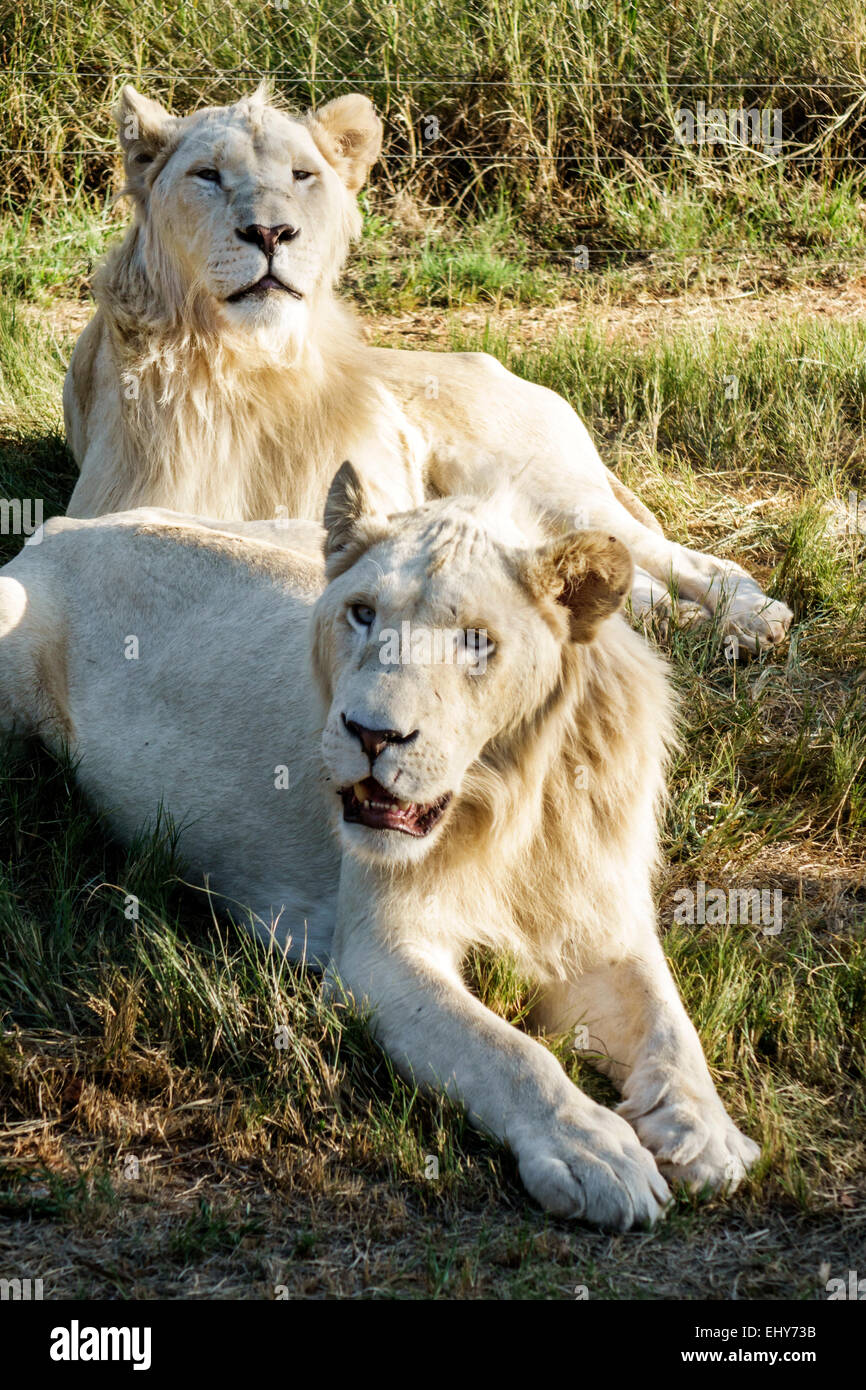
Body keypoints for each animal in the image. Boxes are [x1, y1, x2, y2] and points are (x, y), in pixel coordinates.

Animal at [0, 467, 759, 1228]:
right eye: (363, 614)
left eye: (476, 641)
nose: (371, 734)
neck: (512, 804)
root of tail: (57, 531)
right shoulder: (378, 959)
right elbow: (506, 1051)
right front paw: (595, 1153)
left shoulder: (602, 925)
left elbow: (668, 1021)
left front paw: (705, 1133)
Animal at [63, 84, 792, 654]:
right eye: (208, 176)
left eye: (302, 176)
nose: (271, 233)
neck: (251, 365)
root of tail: (508, 371)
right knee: (617, 584)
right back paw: (689, 621)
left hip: (545, 486)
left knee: (684, 559)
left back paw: (752, 618)